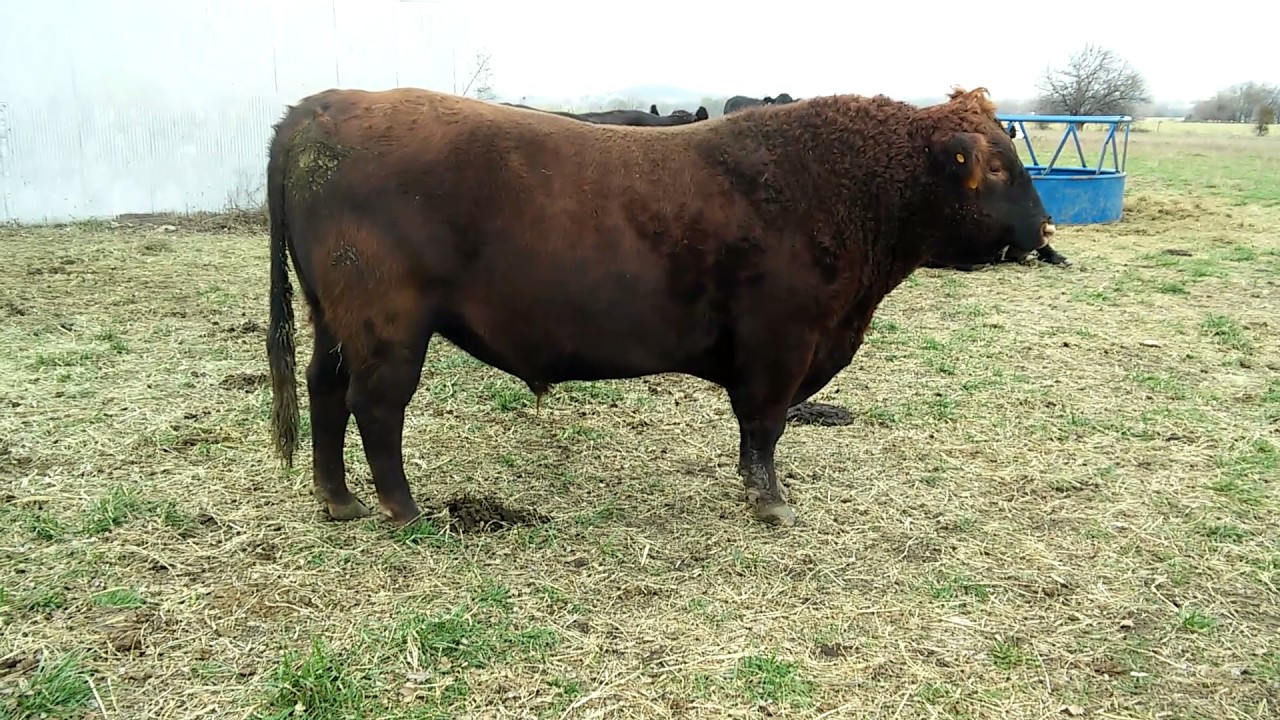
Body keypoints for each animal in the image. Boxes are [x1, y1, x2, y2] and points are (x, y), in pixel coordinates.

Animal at [265, 85, 1055, 530]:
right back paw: (401, 509)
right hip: (389, 325)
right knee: (376, 406)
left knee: (325, 389)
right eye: (1002, 167)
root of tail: (320, 106)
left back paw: (337, 500)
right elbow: (764, 428)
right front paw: (771, 502)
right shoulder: (779, 344)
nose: (1046, 229)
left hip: (334, 319)